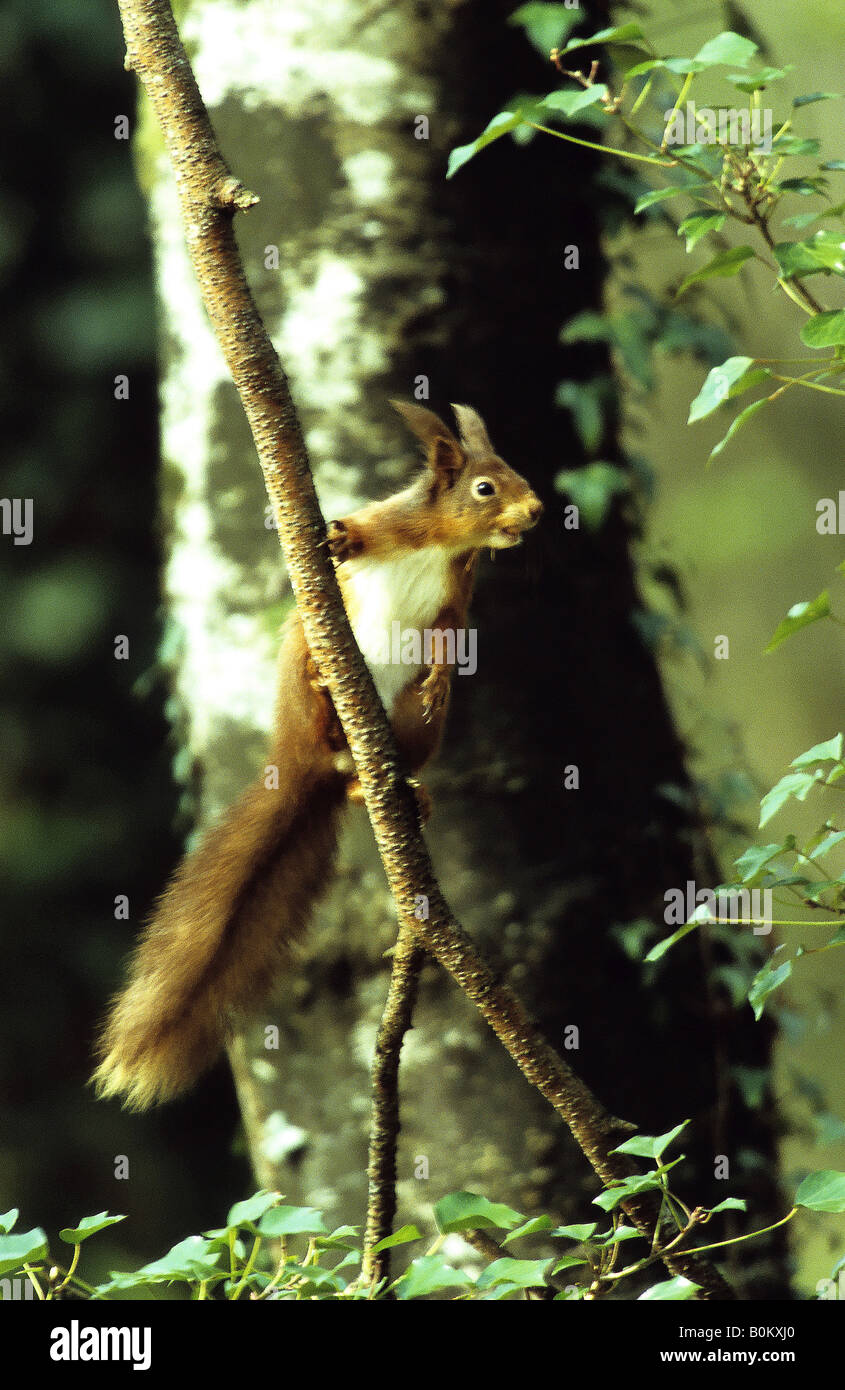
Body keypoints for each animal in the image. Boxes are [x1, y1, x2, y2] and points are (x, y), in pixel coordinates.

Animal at [92, 400, 542, 1109]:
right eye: (484, 488)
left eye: (516, 475)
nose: (537, 511)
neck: (443, 543)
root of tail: (307, 765)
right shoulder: (392, 524)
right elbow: (361, 531)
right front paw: (339, 541)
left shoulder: (456, 596)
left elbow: (450, 639)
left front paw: (445, 677)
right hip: (306, 653)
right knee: (313, 682)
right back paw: (325, 699)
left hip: (414, 730)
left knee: (384, 766)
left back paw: (401, 790)